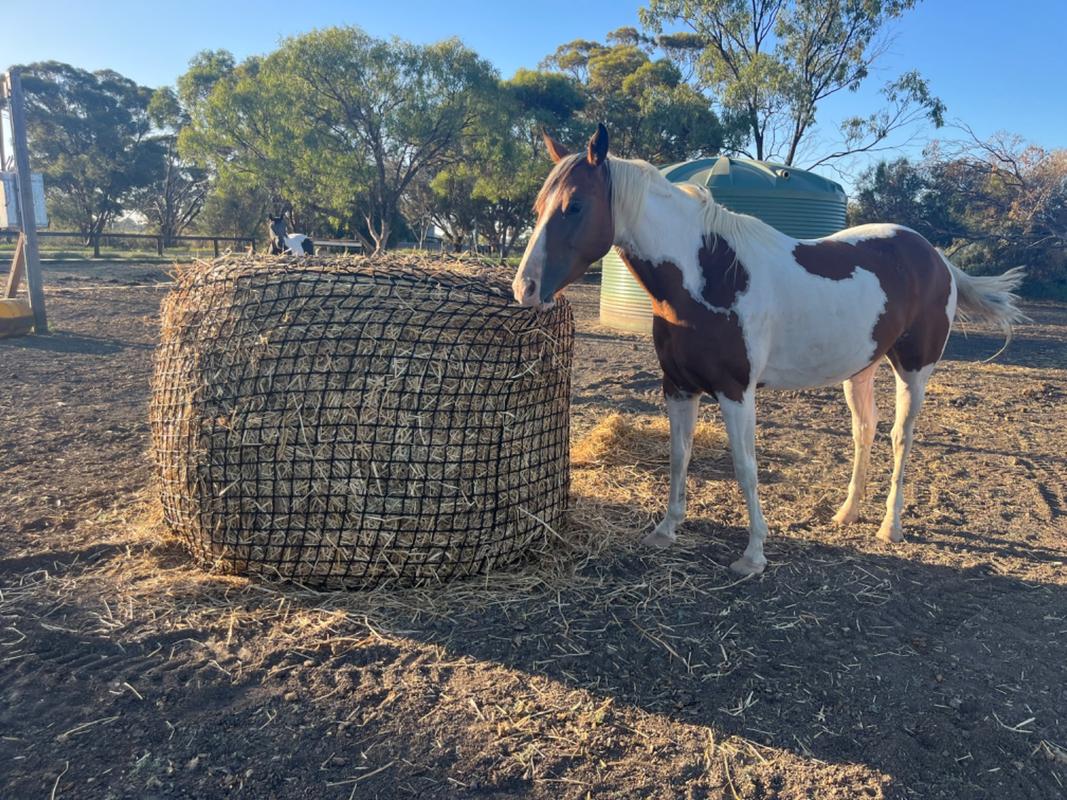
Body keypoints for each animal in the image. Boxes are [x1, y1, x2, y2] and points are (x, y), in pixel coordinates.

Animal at [513, 123, 1026, 576]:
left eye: (575, 206)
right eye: (537, 207)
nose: (525, 288)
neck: (710, 275)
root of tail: (936, 256)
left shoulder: (736, 392)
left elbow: (745, 467)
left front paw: (754, 554)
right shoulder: (677, 387)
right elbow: (679, 456)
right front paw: (666, 529)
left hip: (914, 370)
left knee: (902, 437)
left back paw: (889, 526)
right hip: (859, 369)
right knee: (865, 431)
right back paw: (847, 513)